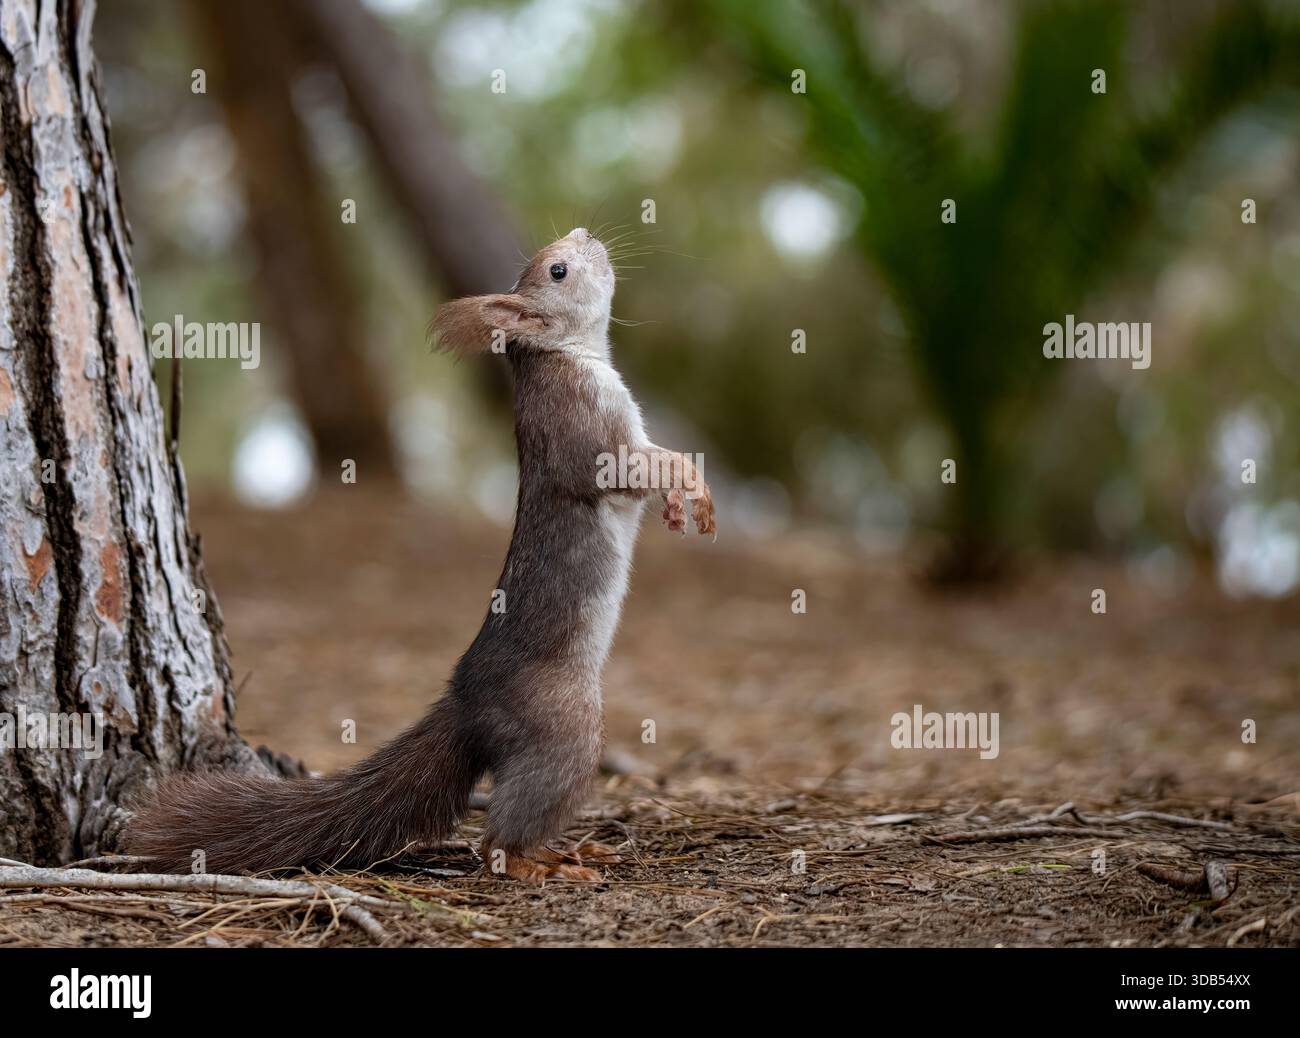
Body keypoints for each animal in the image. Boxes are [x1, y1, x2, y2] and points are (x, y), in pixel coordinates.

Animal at [127, 228, 716, 882]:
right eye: (558, 270)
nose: (585, 233)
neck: (570, 355)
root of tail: (465, 704)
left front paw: (682, 507)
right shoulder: (583, 423)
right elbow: (633, 464)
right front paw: (691, 484)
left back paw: (574, 850)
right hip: (566, 730)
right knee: (503, 835)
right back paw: (541, 863)